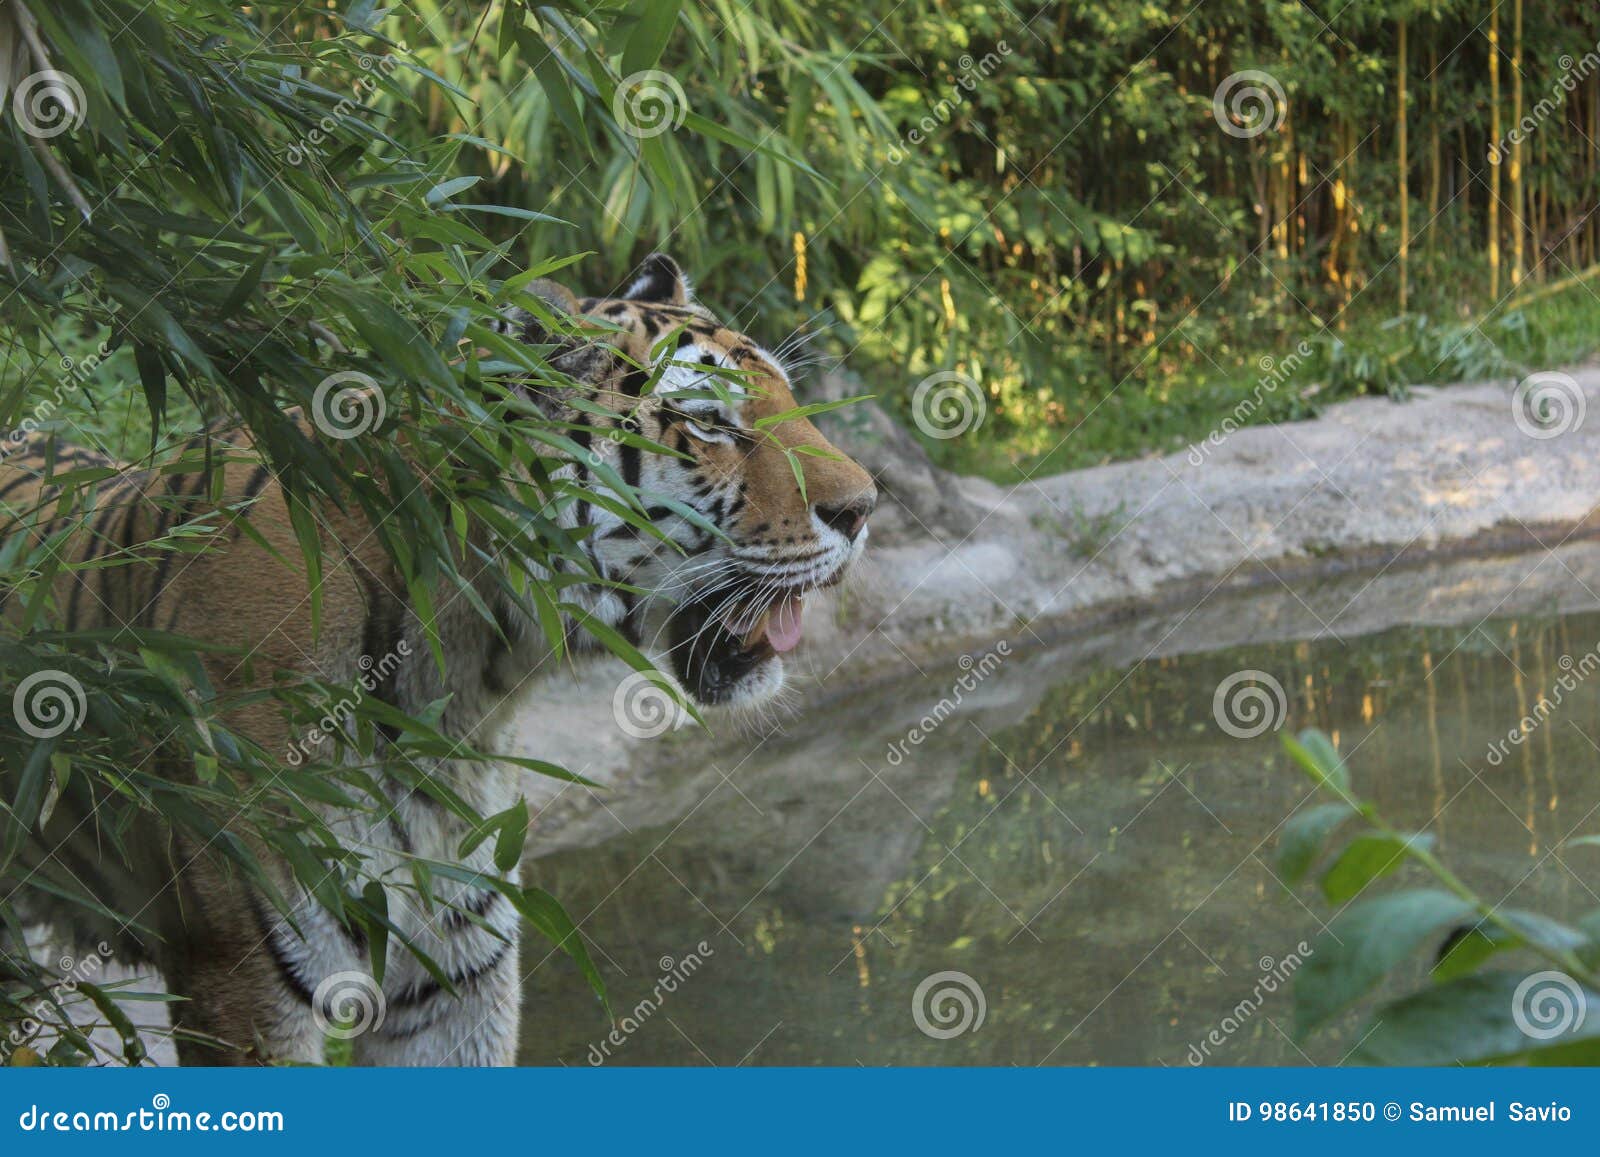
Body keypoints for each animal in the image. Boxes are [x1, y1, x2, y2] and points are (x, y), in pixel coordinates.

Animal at [1, 254, 876, 1065]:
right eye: (711, 423)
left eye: (791, 397)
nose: (866, 507)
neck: (464, 683)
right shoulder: (248, 980)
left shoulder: (457, 976)